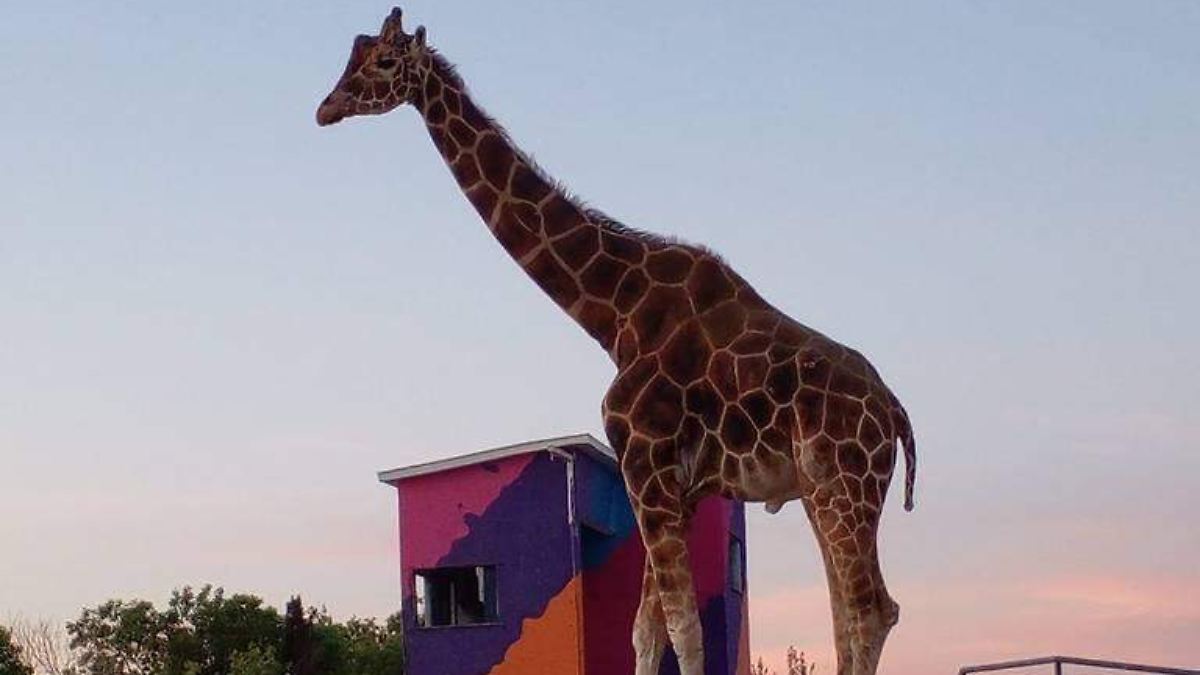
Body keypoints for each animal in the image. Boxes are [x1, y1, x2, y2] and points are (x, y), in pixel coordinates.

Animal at [317, 9, 916, 675]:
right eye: (354, 55)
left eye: (383, 62)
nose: (325, 108)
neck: (612, 313)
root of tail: (894, 411)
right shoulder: (671, 484)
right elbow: (647, 629)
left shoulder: (645, 464)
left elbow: (683, 628)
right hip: (822, 489)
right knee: (849, 613)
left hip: (845, 482)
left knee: (870, 608)